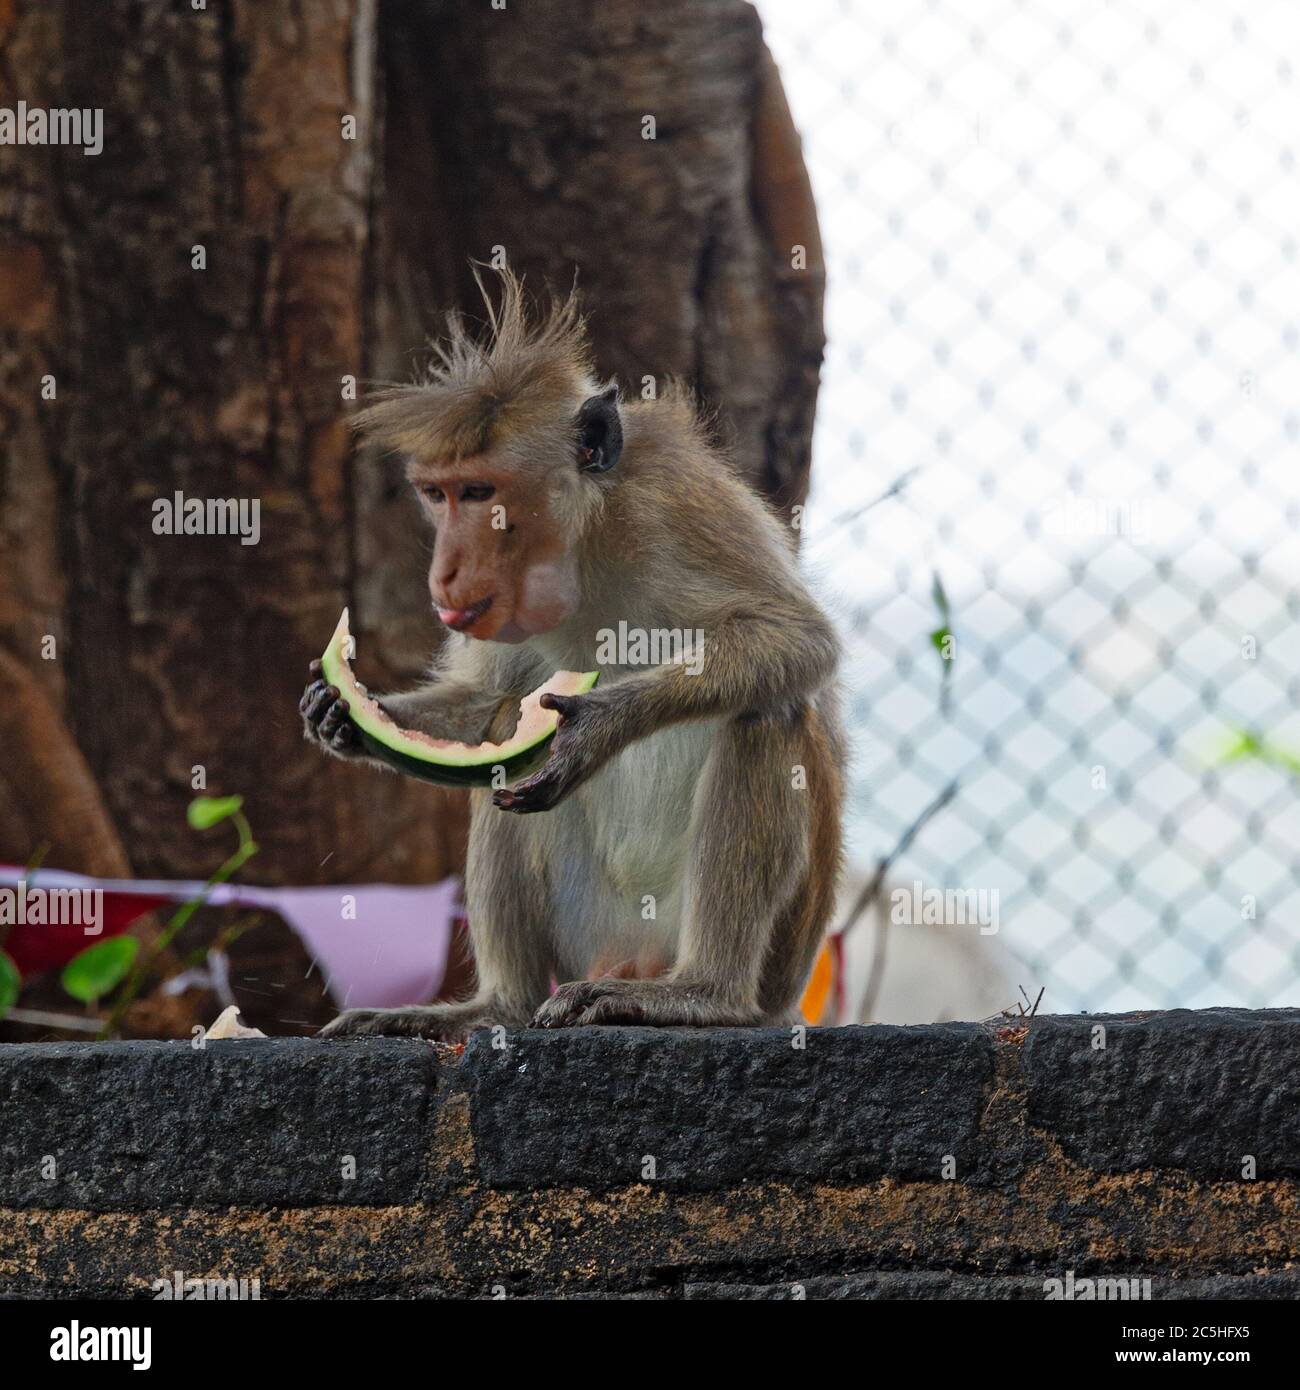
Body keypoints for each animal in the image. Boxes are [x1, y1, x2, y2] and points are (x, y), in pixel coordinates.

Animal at [303, 271, 844, 1038]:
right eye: (436, 495)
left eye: (480, 493)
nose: (444, 574)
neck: (584, 545)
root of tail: (636, 959)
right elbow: (483, 705)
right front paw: (345, 713)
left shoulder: (677, 505)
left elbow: (799, 638)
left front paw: (600, 724)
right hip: (591, 932)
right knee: (506, 737)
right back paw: (496, 1005)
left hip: (779, 958)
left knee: (766, 712)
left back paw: (704, 993)